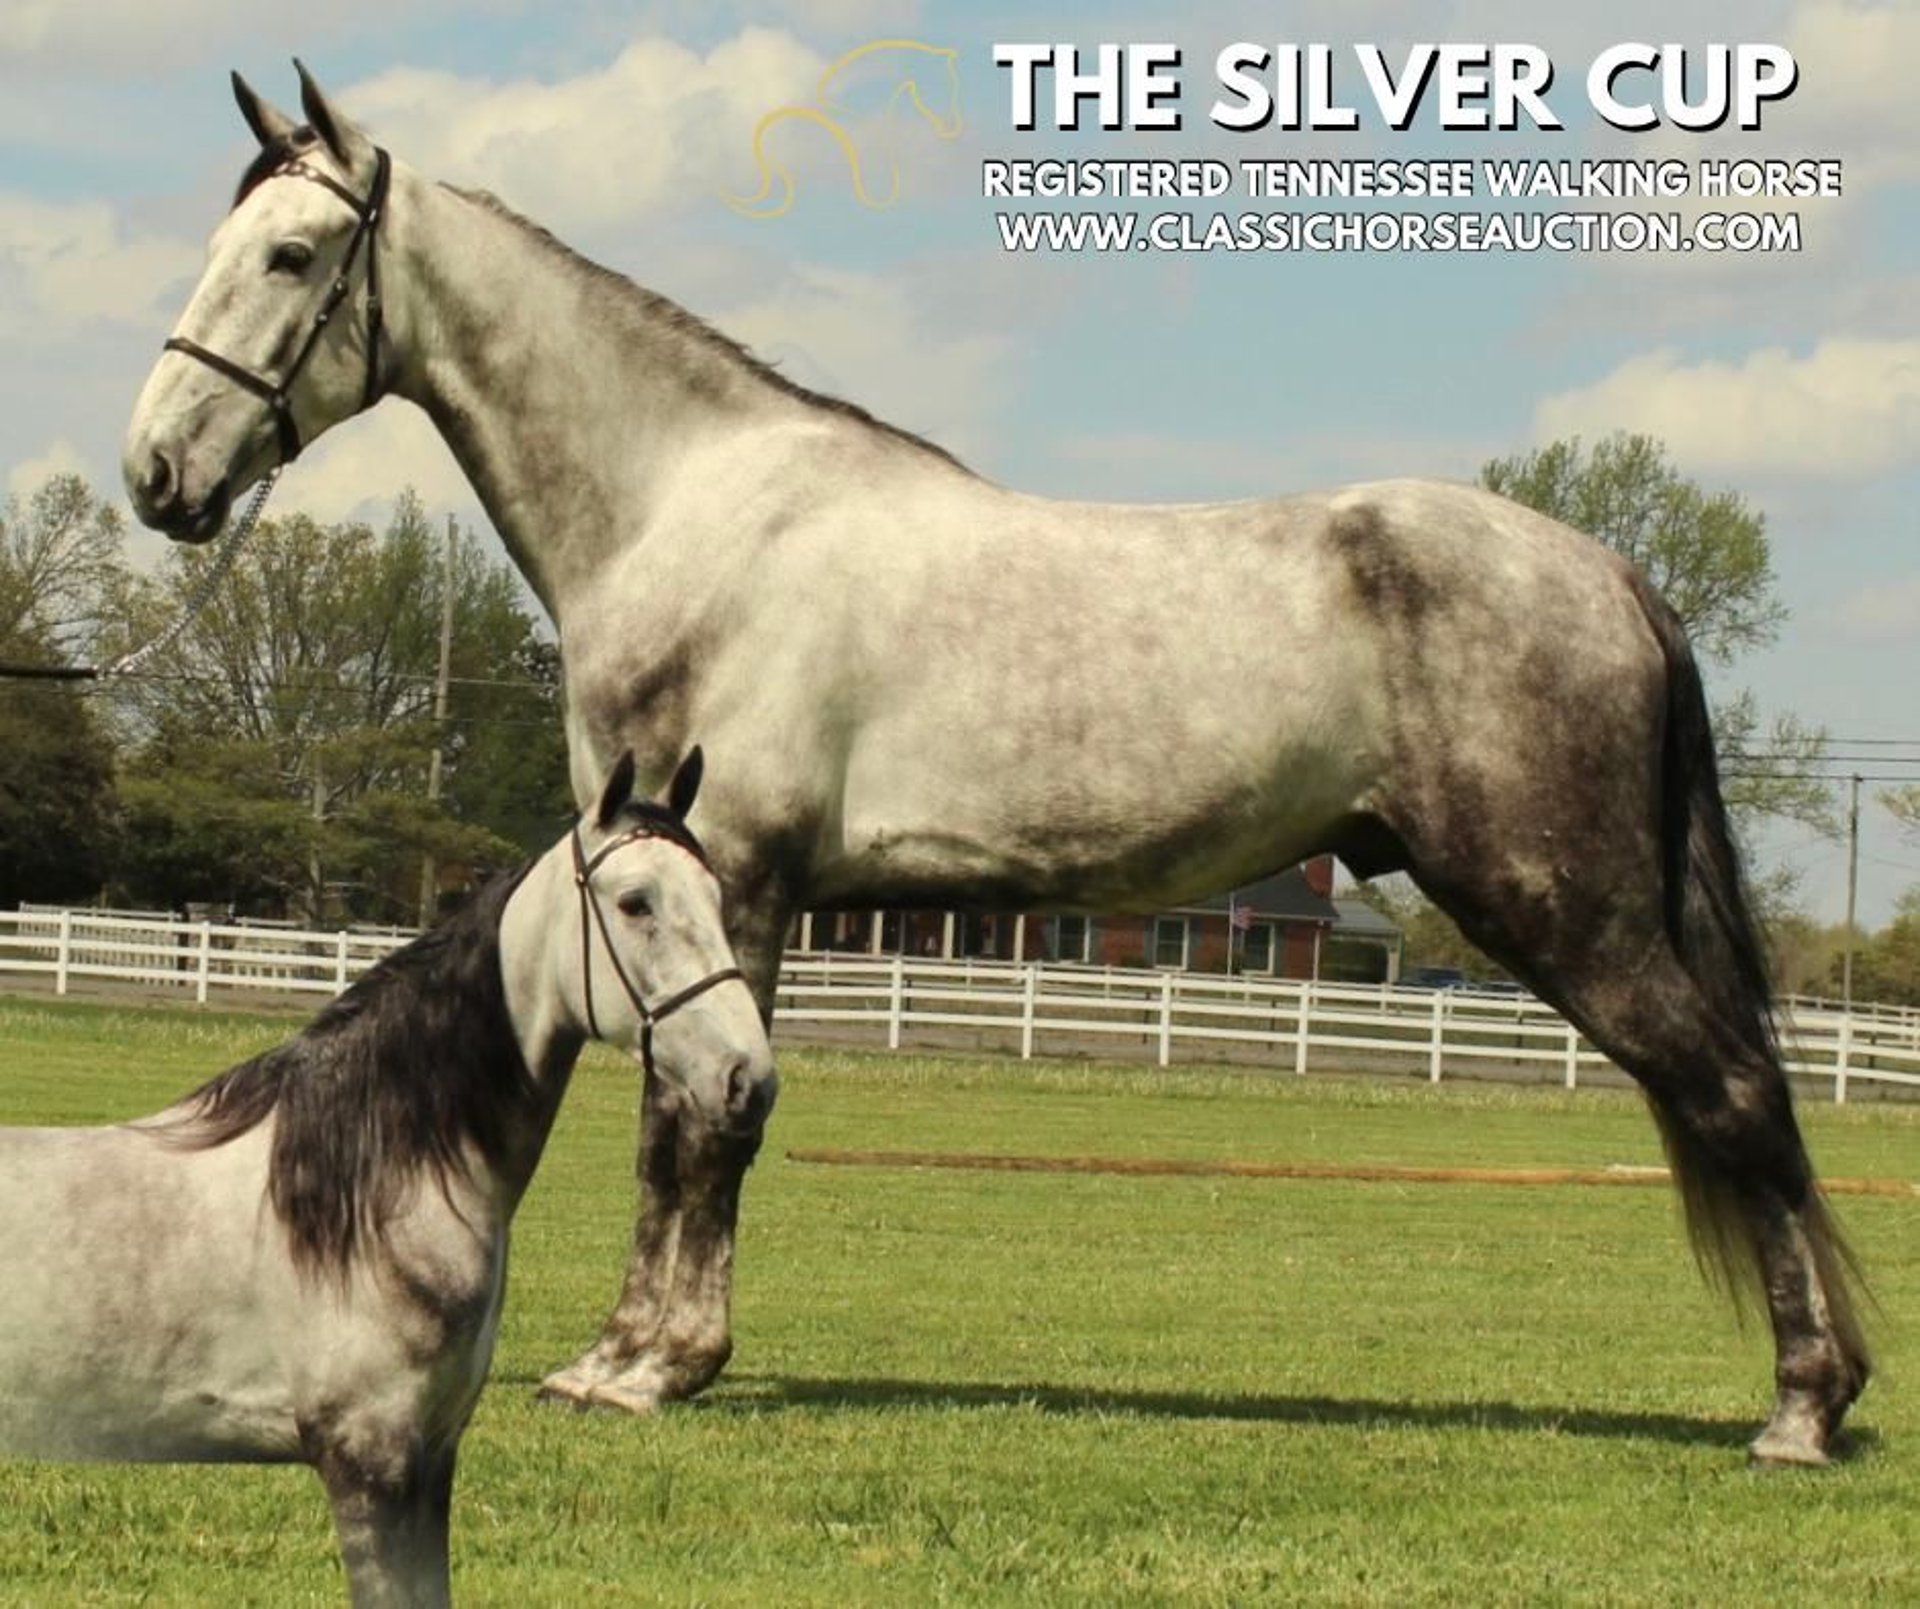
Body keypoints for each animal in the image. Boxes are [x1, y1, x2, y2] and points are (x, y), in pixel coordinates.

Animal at [0, 750, 775, 1606]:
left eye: (717, 897)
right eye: (636, 902)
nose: (748, 1079)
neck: (373, 1185)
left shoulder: (432, 1455)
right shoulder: (371, 1460)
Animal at [121, 65, 1868, 1466]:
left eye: (290, 255)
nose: (156, 472)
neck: (699, 510)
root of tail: (1612, 572)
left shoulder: (732, 870)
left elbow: (698, 1123)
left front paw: (647, 1366)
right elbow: (686, 1109)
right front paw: (638, 1352)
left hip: (1570, 912)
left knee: (1737, 1091)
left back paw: (1801, 1407)